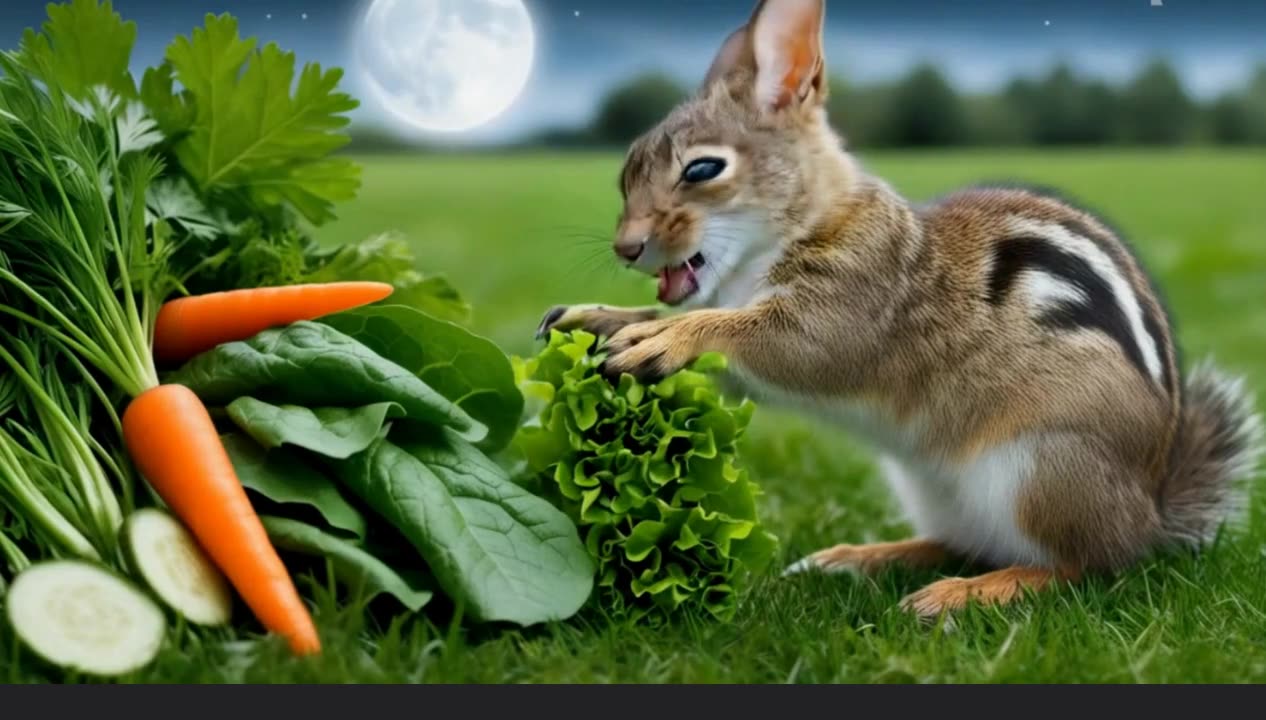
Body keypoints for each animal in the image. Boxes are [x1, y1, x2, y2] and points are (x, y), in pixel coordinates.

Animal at [534, 0, 1263, 620]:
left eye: (703, 169)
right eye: (625, 171)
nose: (626, 248)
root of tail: (1149, 513)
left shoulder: (853, 306)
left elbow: (775, 343)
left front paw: (671, 338)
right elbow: (654, 317)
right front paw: (602, 317)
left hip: (1044, 469)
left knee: (1080, 565)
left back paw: (969, 593)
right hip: (935, 488)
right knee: (966, 542)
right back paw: (860, 559)